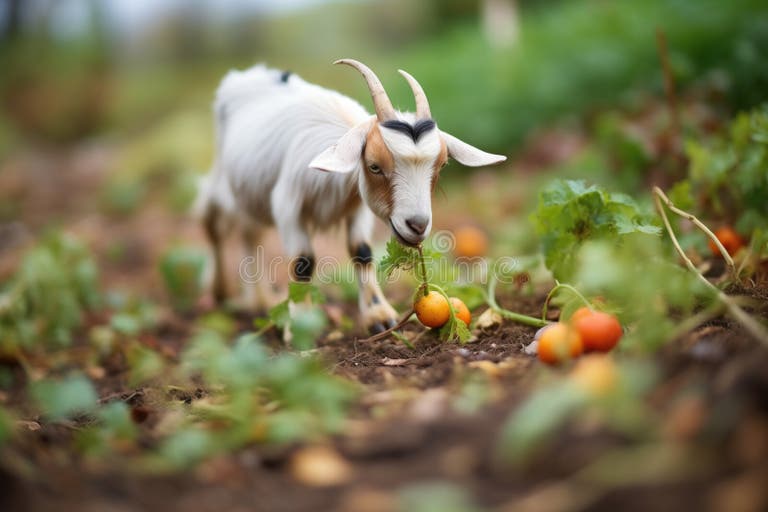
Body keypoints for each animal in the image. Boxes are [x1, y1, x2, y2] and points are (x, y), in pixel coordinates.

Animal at [197, 59, 506, 334]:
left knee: (249, 234)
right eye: (374, 166)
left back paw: (260, 300)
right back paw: (219, 290)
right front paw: (300, 325)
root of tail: (246, 74)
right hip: (222, 185)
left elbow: (362, 251)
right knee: (212, 223)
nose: (417, 225)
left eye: (441, 165)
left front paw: (379, 317)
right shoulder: (287, 206)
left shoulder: (358, 208)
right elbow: (303, 262)